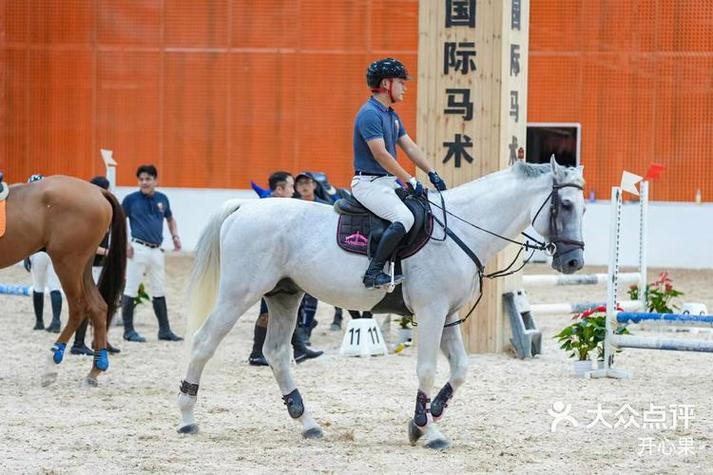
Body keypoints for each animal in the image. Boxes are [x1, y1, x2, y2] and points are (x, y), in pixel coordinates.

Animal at [0, 175, 126, 387]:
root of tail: (98, 191)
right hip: (83, 264)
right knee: (98, 306)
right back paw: (95, 370)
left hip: (67, 262)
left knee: (78, 308)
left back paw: (52, 363)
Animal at [176, 159, 585, 448]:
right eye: (565, 205)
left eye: (581, 208)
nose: (574, 263)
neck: (461, 229)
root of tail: (244, 208)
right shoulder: (432, 312)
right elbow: (427, 369)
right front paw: (427, 430)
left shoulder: (449, 315)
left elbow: (461, 369)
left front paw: (428, 416)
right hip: (239, 294)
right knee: (203, 343)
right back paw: (187, 418)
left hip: (285, 295)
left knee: (276, 352)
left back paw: (307, 423)